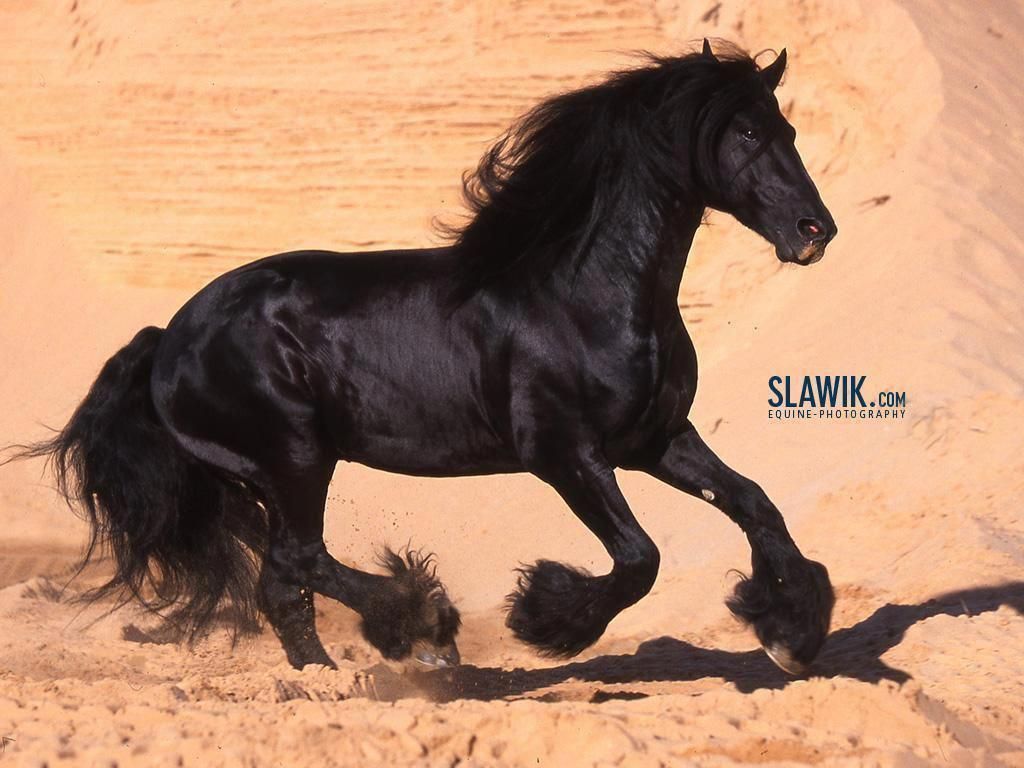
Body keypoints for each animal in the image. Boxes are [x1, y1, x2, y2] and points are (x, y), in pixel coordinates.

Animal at [13, 39, 837, 675]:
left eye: (789, 129)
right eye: (746, 134)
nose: (815, 231)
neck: (585, 292)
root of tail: (168, 339)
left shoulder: (657, 441)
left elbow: (756, 504)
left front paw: (792, 635)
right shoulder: (563, 454)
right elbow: (639, 557)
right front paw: (543, 617)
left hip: (253, 477)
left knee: (286, 572)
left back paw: (356, 661)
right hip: (295, 457)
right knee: (296, 564)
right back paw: (413, 638)